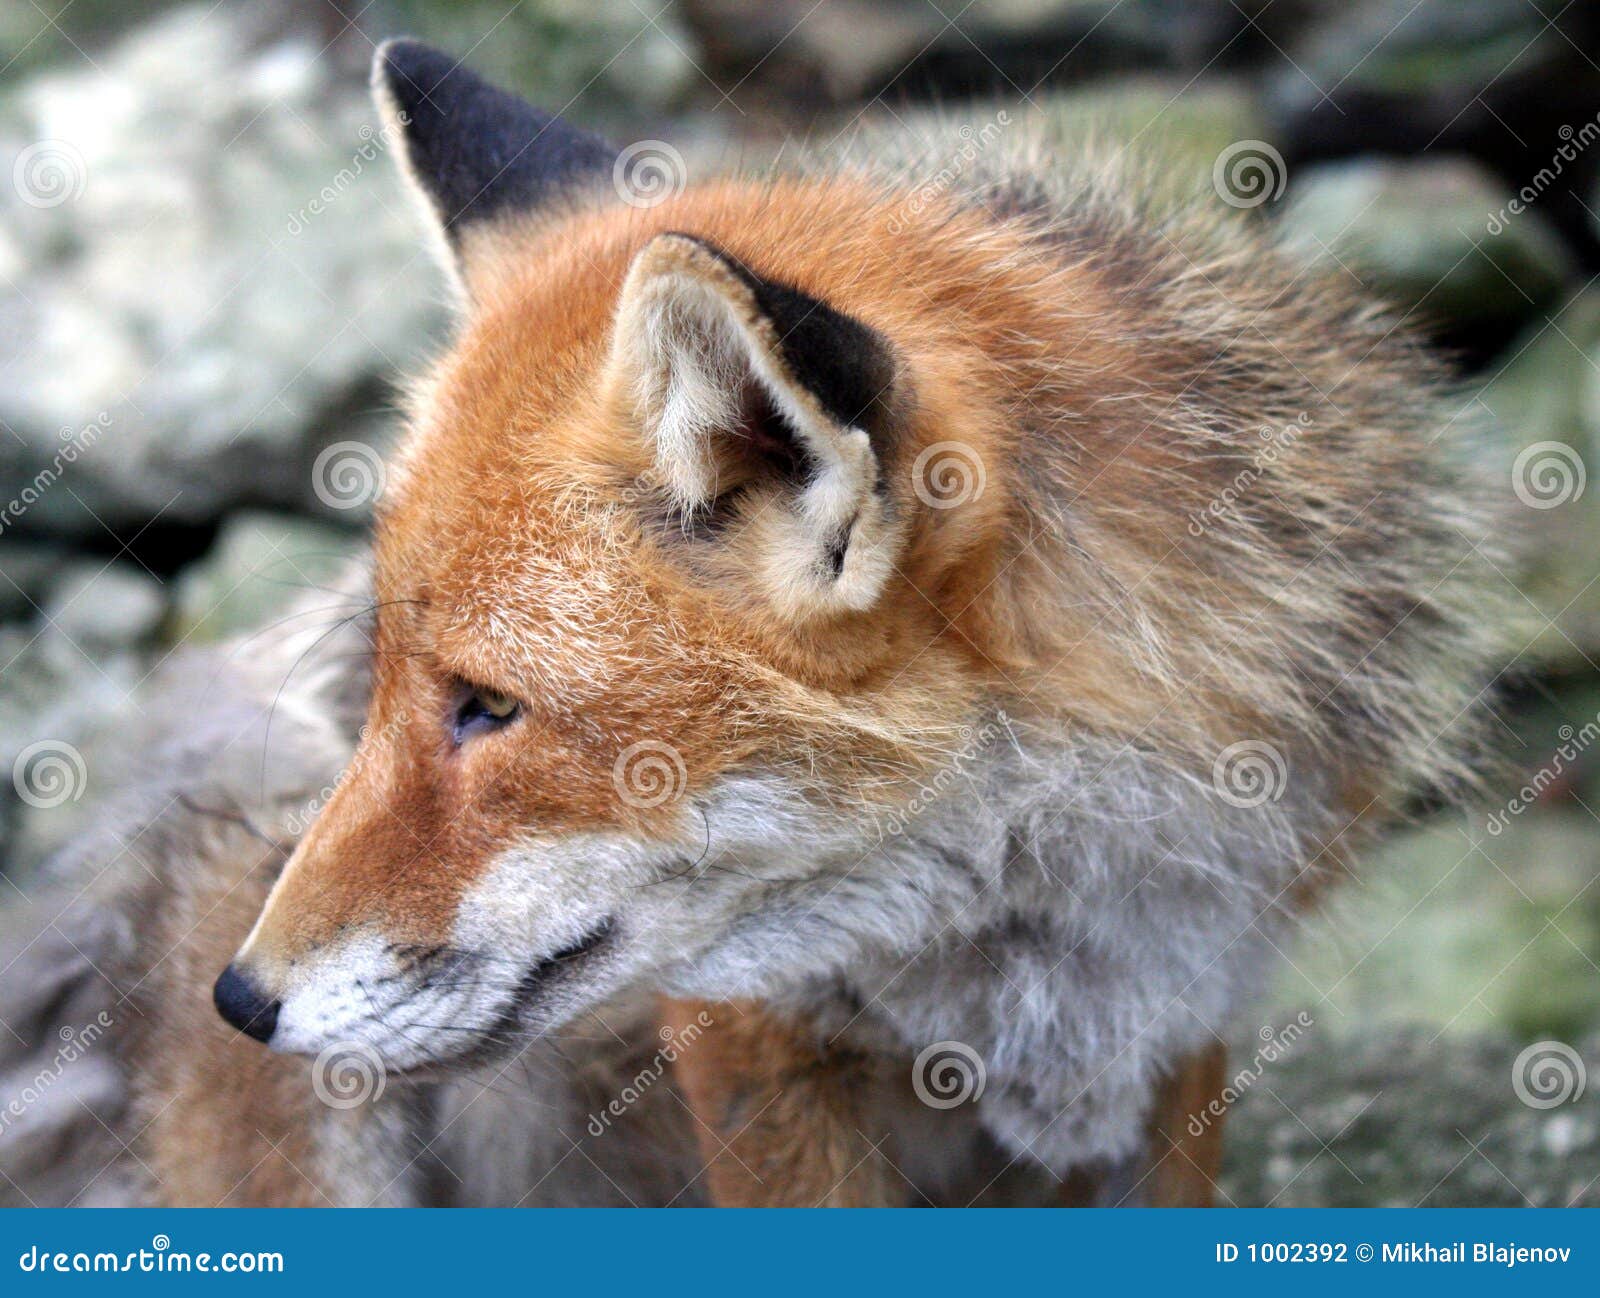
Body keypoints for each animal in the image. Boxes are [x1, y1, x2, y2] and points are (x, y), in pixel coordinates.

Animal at [0, 40, 1513, 1208]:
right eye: (381, 681)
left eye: (489, 705)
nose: (243, 999)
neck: (1024, 932)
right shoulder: (748, 1037)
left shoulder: (1173, 1042)